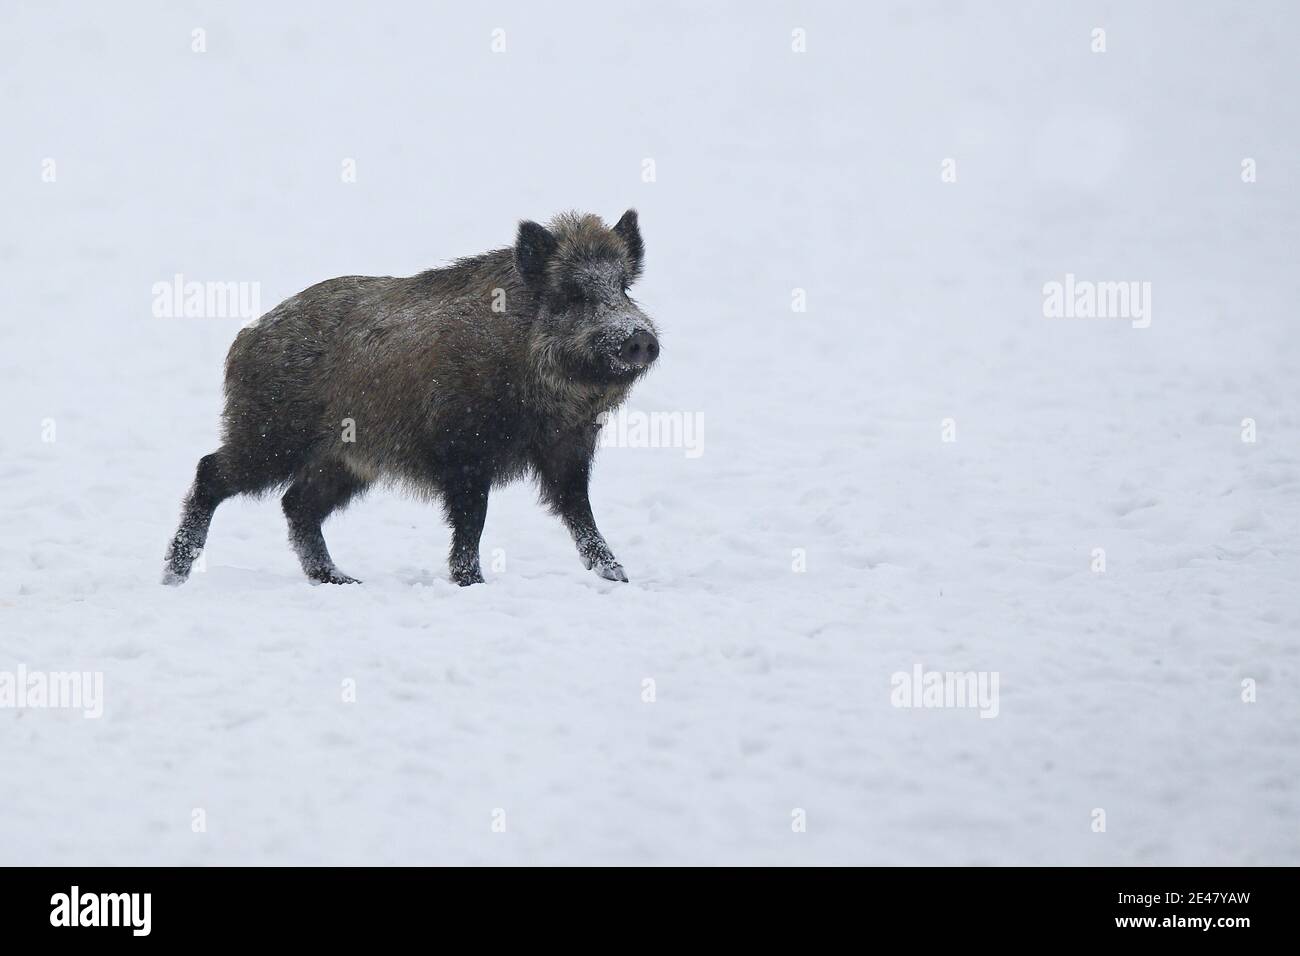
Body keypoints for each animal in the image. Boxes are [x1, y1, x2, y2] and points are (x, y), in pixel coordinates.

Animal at [162, 210, 659, 587]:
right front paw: (471, 582)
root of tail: (245, 339)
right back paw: (175, 576)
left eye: (624, 287)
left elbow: (579, 510)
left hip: (343, 460)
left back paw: (341, 579)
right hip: (270, 435)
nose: (639, 338)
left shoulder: (568, 448)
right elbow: (473, 519)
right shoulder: (464, 452)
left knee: (297, 504)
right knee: (212, 472)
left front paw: (617, 576)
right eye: (571, 293)